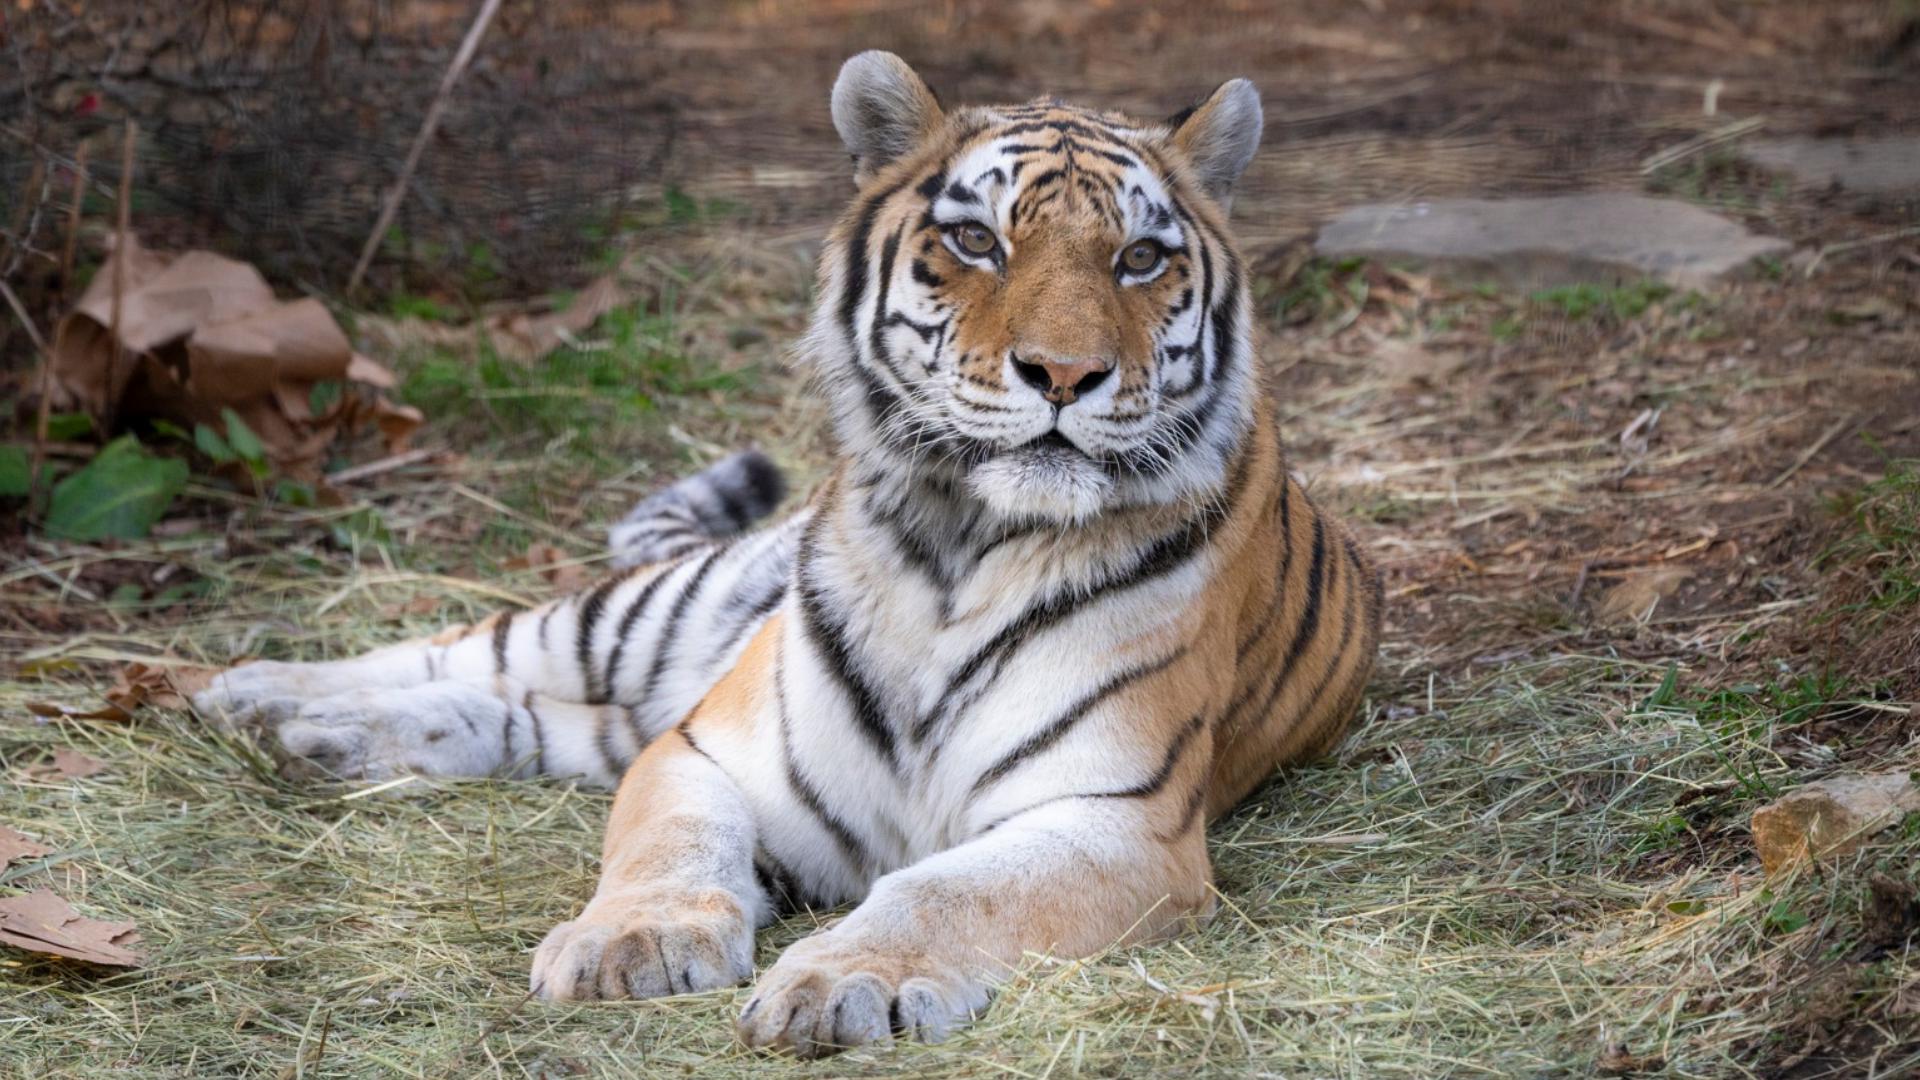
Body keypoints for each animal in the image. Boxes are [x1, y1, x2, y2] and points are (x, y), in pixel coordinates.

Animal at [194, 51, 1383, 1056]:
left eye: (1140, 259)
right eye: (977, 243)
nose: (1063, 374)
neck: (960, 543)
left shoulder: (1118, 822)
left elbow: (947, 888)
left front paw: (844, 980)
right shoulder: (708, 750)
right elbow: (667, 845)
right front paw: (631, 943)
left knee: (531, 718)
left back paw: (318, 741)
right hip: (654, 617)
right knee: (468, 651)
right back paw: (257, 693)